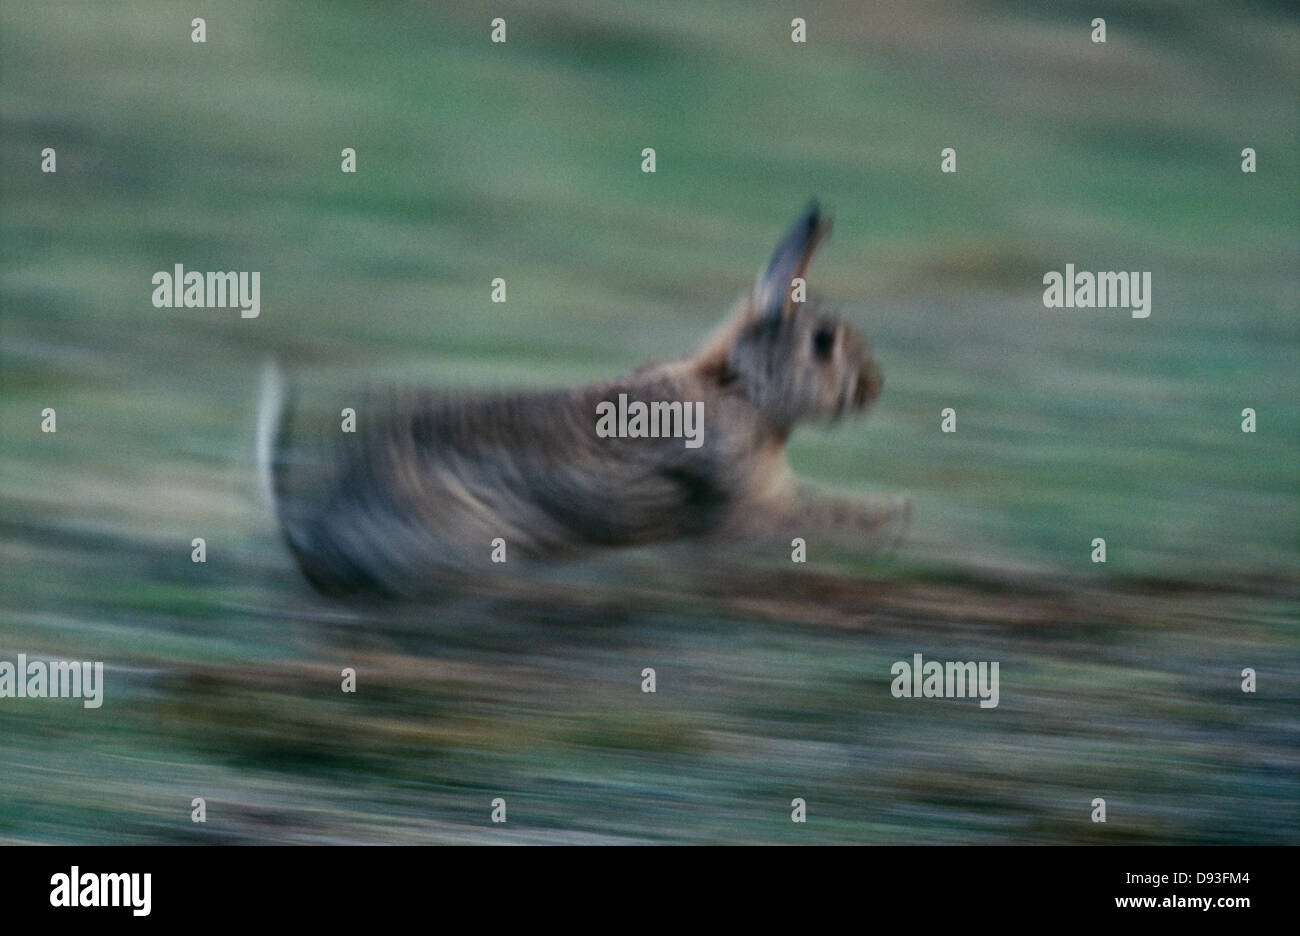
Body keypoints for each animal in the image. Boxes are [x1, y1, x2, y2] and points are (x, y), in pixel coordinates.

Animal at [259, 201, 909, 597]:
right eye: (823, 343)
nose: (876, 386)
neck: (743, 391)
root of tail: (312, 533)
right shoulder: (745, 507)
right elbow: (816, 514)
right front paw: (889, 519)